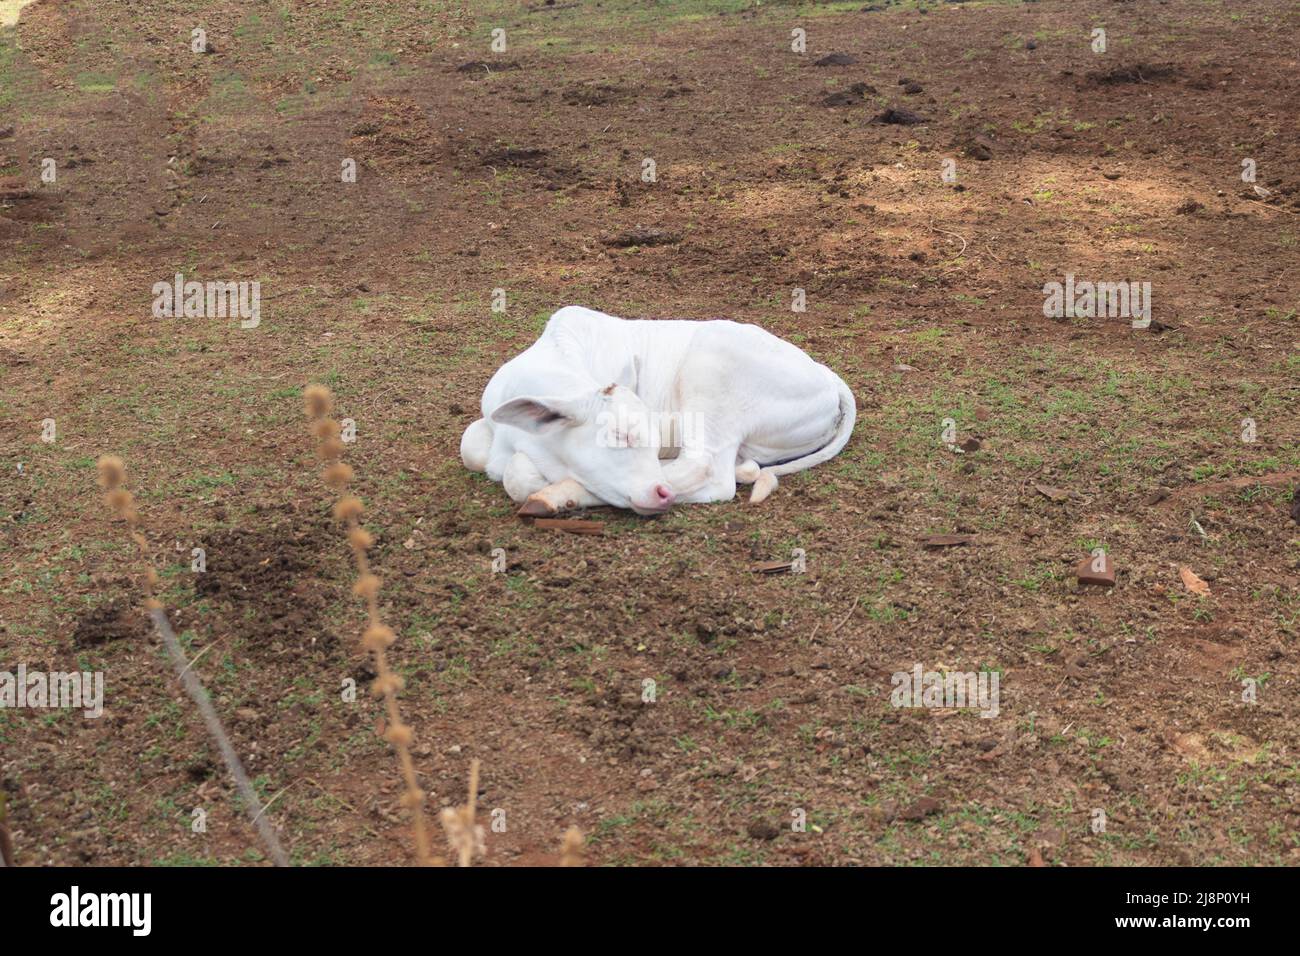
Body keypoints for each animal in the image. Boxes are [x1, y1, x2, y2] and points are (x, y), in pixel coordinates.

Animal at [460, 306, 856, 515]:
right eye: (619, 435)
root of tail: (825, 374)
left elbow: (518, 477)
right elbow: (471, 449)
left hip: (711, 374)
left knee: (708, 472)